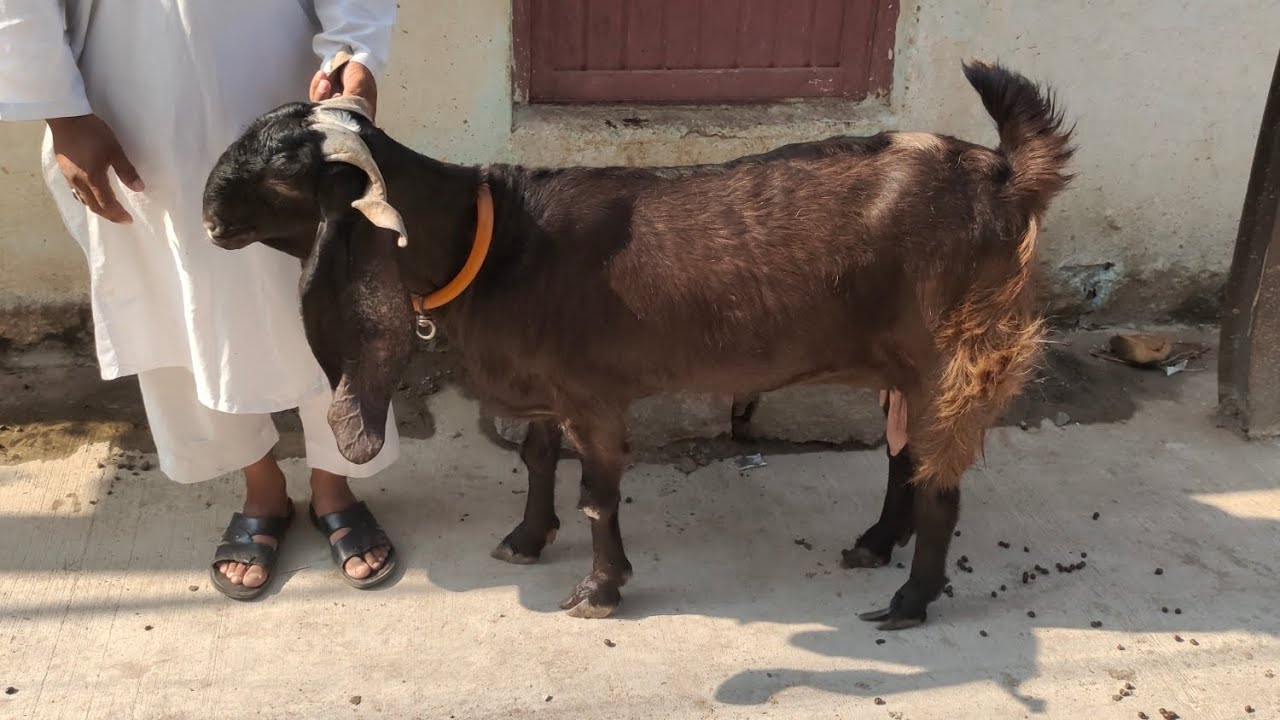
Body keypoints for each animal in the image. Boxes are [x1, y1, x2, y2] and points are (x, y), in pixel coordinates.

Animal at [201, 61, 1074, 629]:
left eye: (280, 174)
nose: (208, 217)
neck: (500, 238)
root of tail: (1005, 173)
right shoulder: (550, 386)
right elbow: (537, 460)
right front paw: (526, 539)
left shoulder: (594, 396)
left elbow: (597, 495)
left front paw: (600, 591)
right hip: (905, 363)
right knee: (904, 458)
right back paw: (873, 545)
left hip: (955, 357)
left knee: (940, 484)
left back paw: (909, 601)